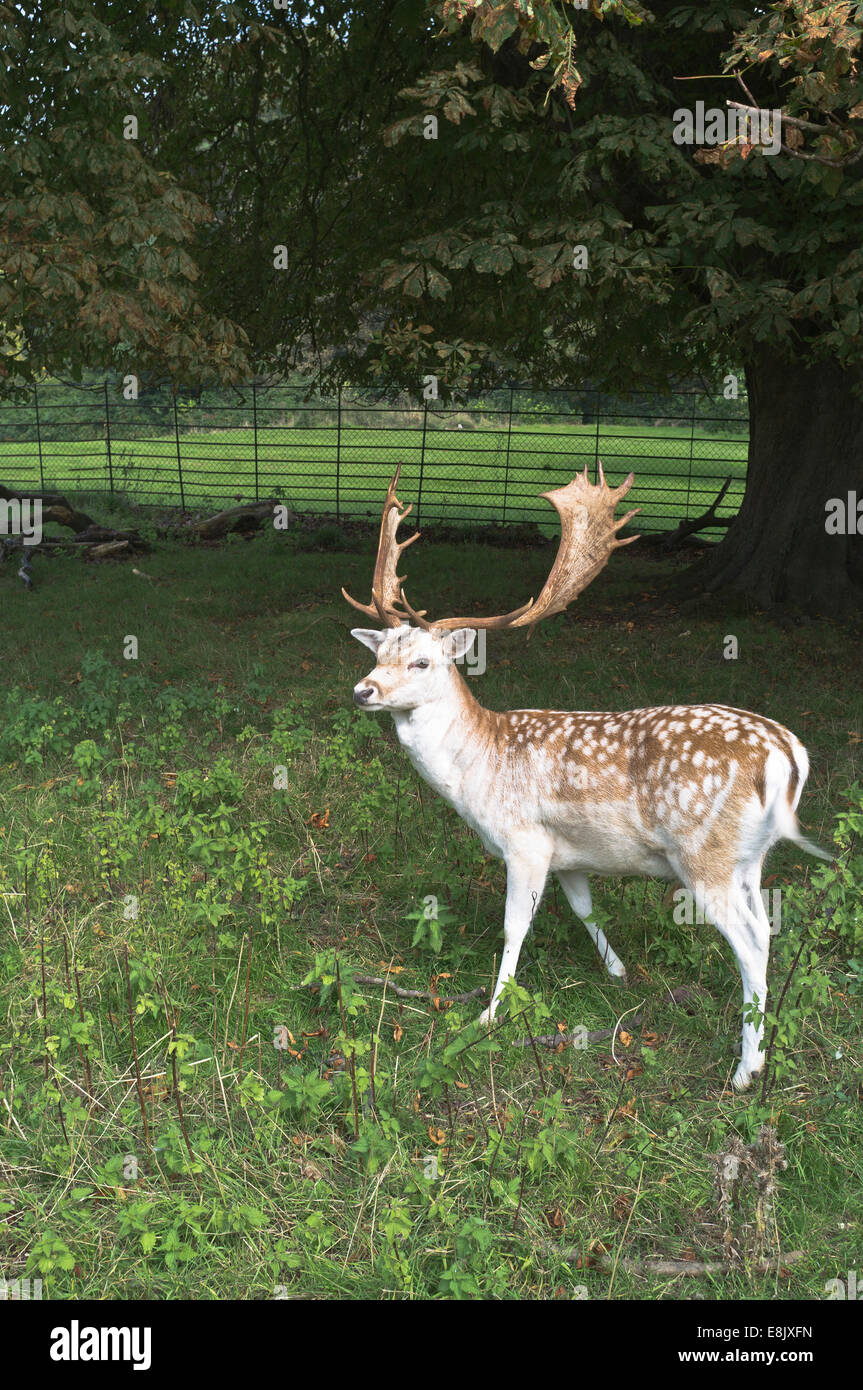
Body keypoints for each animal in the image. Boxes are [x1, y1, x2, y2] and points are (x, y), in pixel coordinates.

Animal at [343, 465, 827, 1091]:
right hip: (749, 857)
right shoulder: (568, 853)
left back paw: (747, 1069)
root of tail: (790, 753)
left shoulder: (524, 842)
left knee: (748, 942)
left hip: (706, 853)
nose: (363, 690)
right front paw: (618, 971)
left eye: (422, 661)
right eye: (380, 655)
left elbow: (512, 929)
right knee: (767, 931)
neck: (480, 768)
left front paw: (489, 1015)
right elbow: (585, 909)